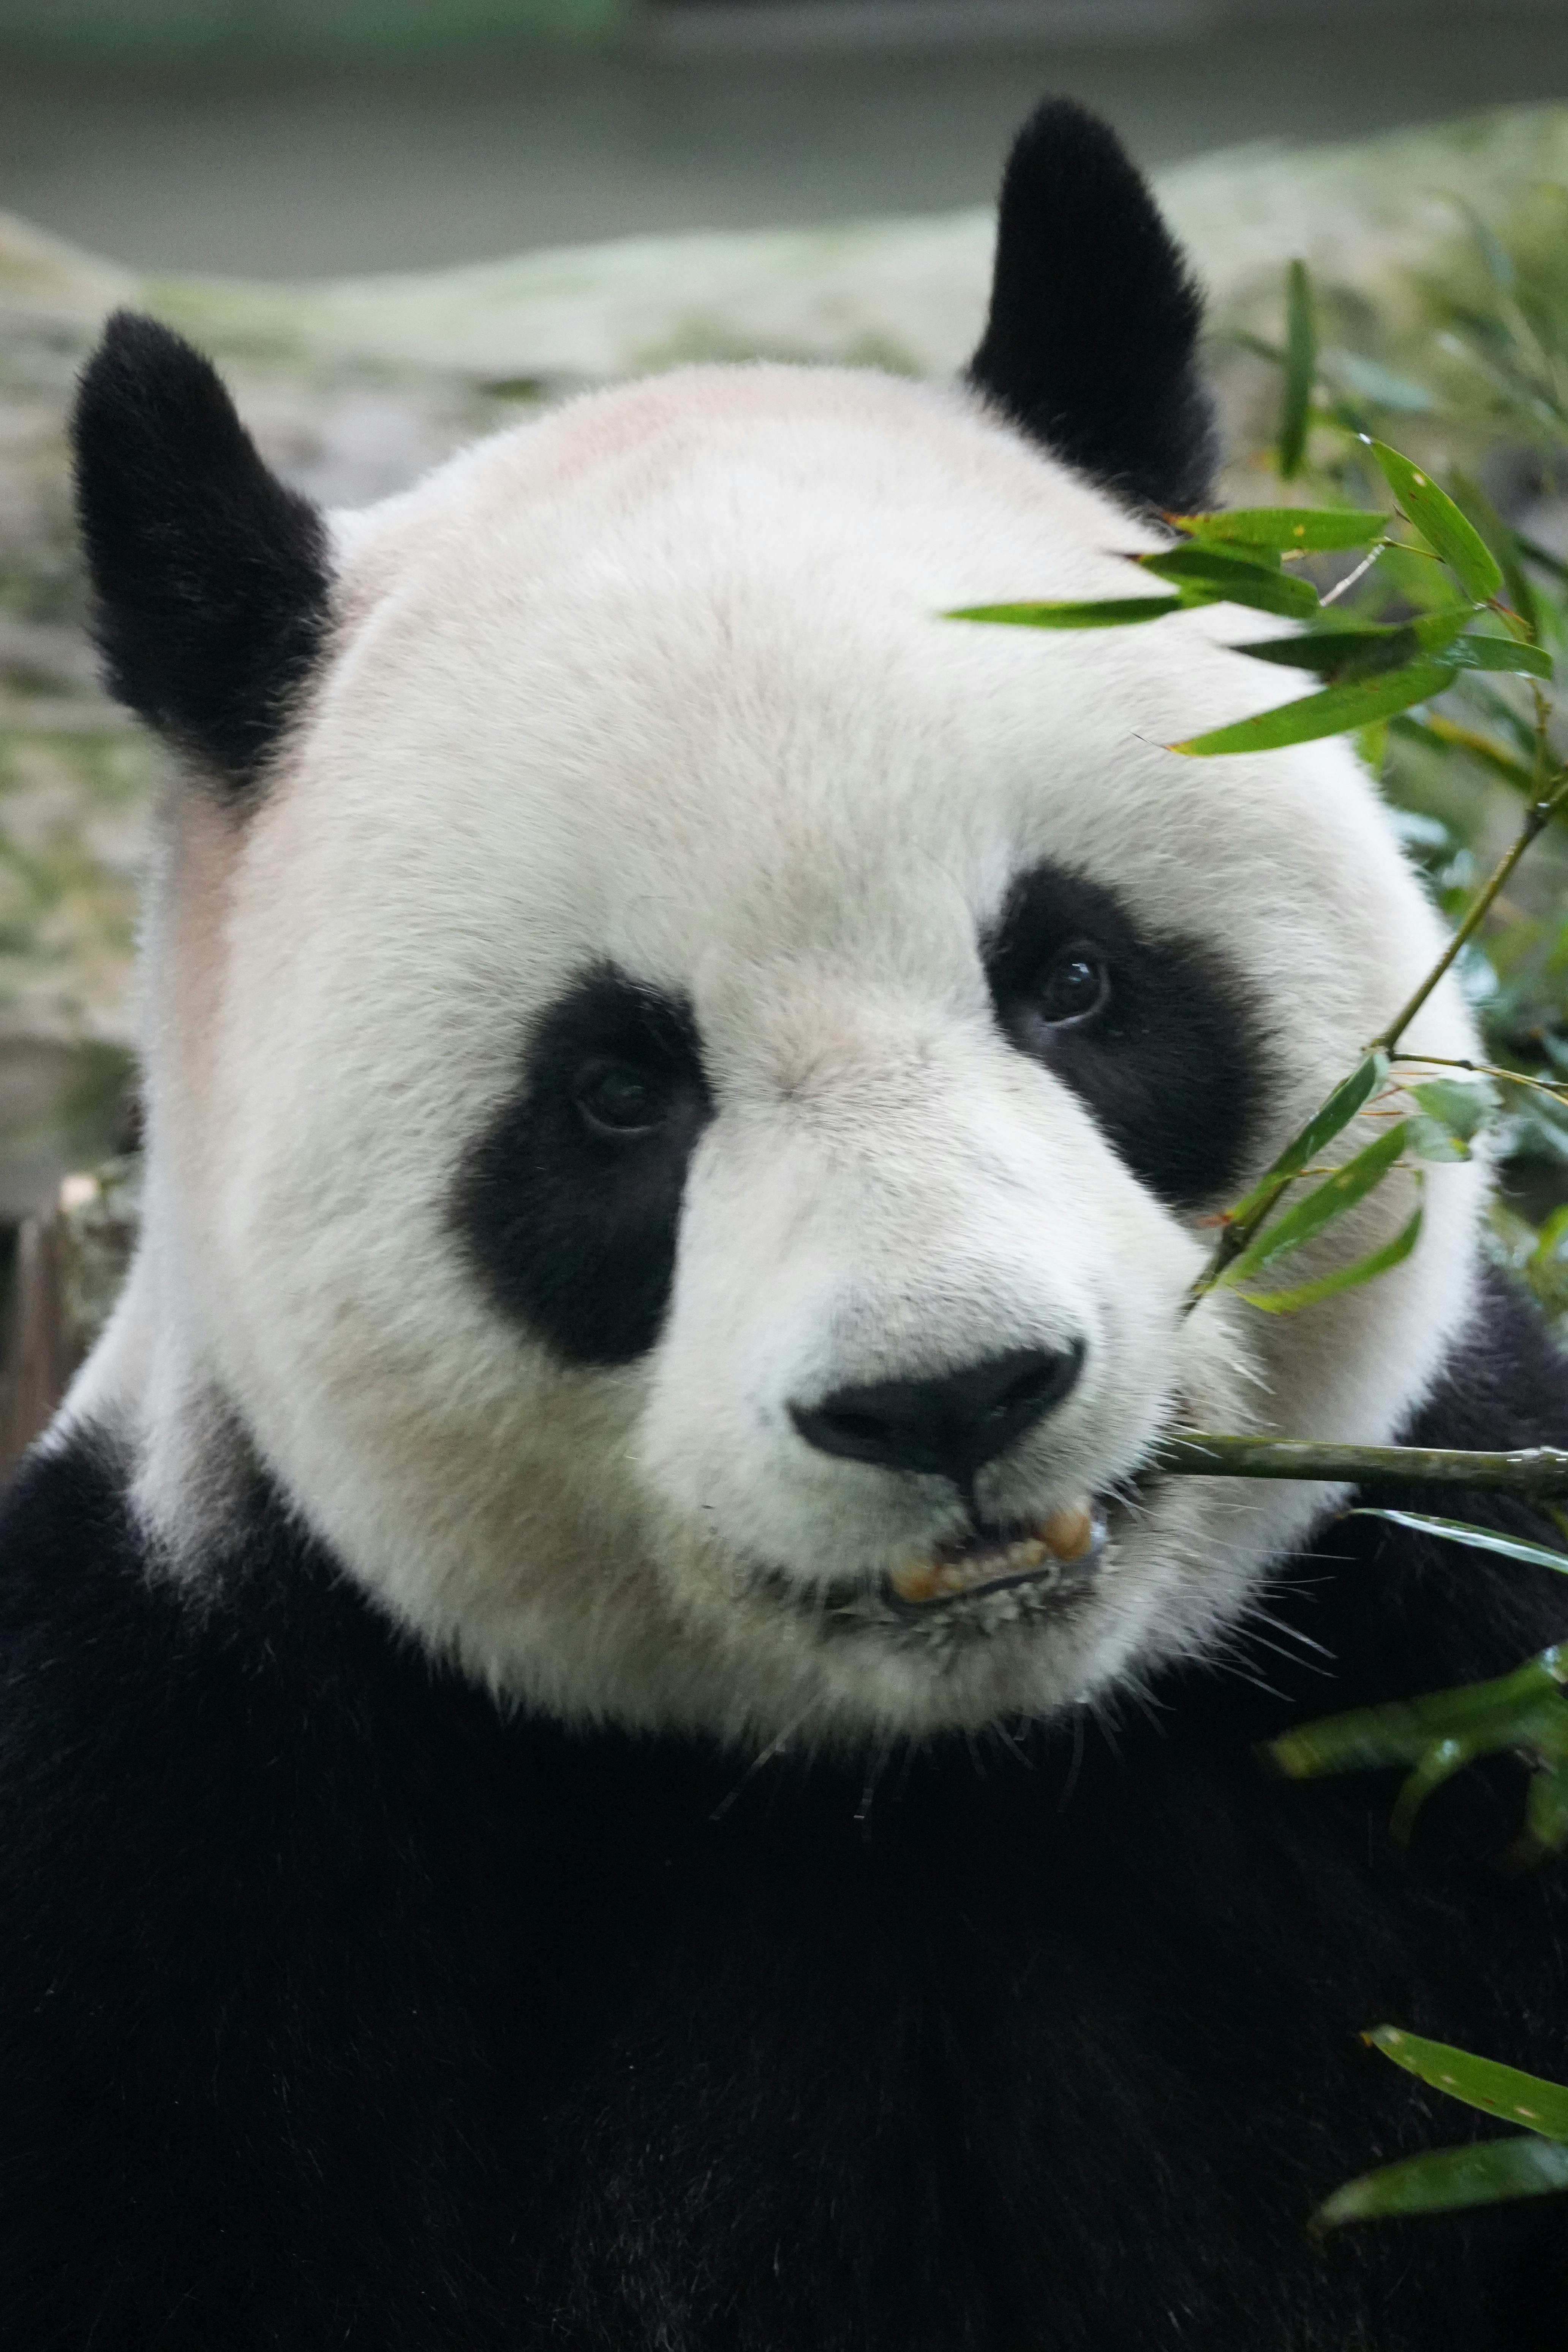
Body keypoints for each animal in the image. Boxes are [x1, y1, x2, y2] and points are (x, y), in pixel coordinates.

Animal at [0, 92, 1563, 2351]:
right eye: (616, 1094)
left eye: (1071, 980)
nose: (949, 1398)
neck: (936, 1778)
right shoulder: (196, 1844)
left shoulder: (1435, 1667)